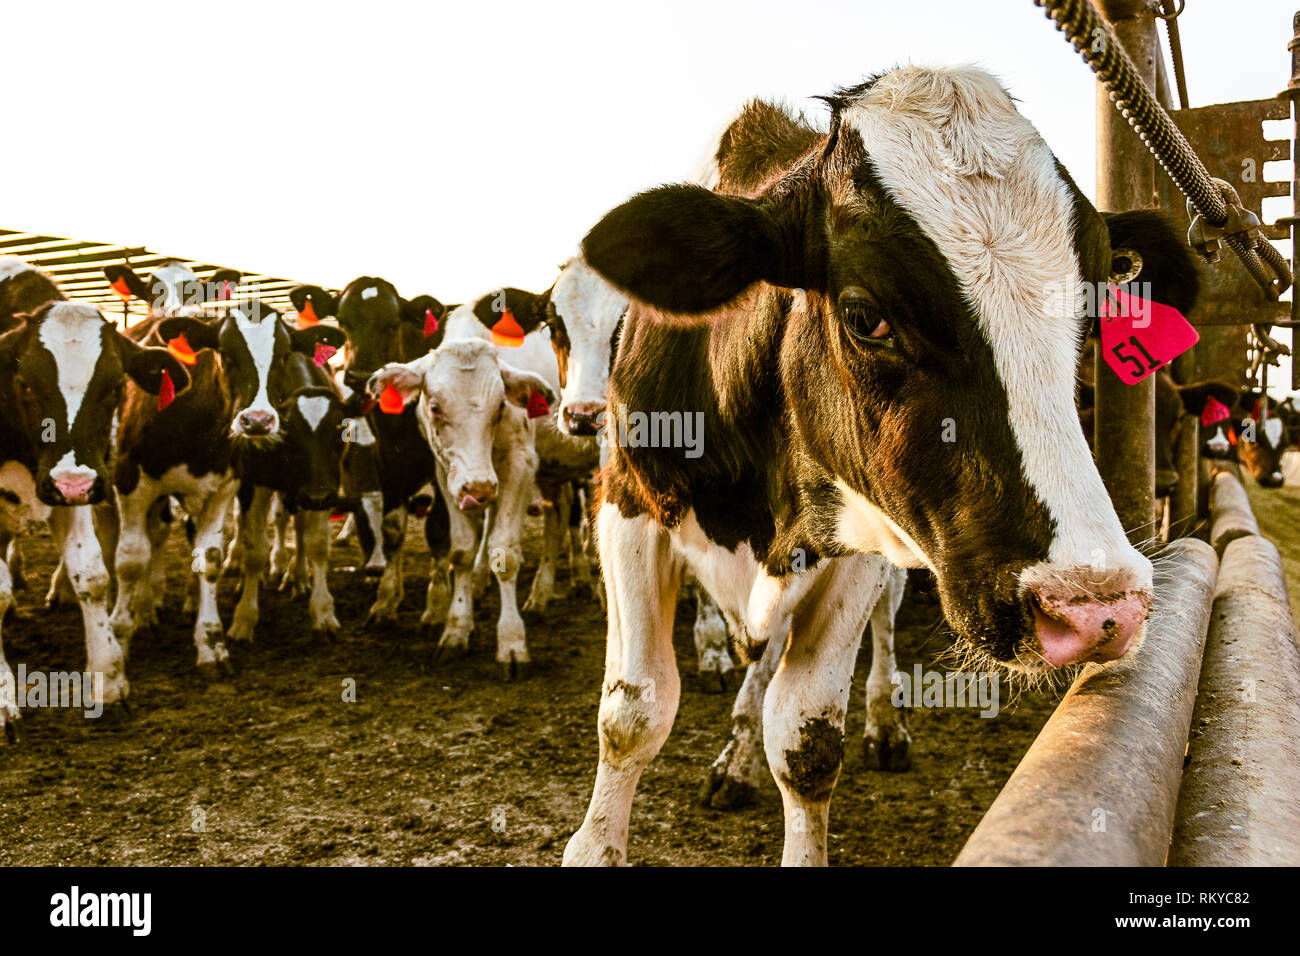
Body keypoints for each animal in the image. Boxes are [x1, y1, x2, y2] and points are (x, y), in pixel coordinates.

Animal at [0, 292, 189, 738]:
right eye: (26, 384)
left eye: (116, 386)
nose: (75, 484)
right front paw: (3, 702)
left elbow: (92, 574)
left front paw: (109, 680)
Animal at [105, 262, 342, 676]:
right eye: (226, 354)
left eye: (284, 354)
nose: (258, 421)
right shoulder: (130, 481)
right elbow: (131, 560)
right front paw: (120, 637)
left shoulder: (226, 486)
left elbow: (211, 559)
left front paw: (211, 642)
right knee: (150, 538)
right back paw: (144, 607)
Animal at [366, 290, 556, 678]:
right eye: (435, 407)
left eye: (500, 407)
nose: (478, 488)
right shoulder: (447, 474)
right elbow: (462, 551)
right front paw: (456, 628)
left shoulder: (520, 465)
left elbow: (504, 552)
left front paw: (511, 642)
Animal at [562, 67, 1157, 866]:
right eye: (864, 315)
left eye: (1091, 314)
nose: (1094, 606)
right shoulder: (625, 507)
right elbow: (634, 713)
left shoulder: (860, 548)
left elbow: (806, 738)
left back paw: (881, 722)